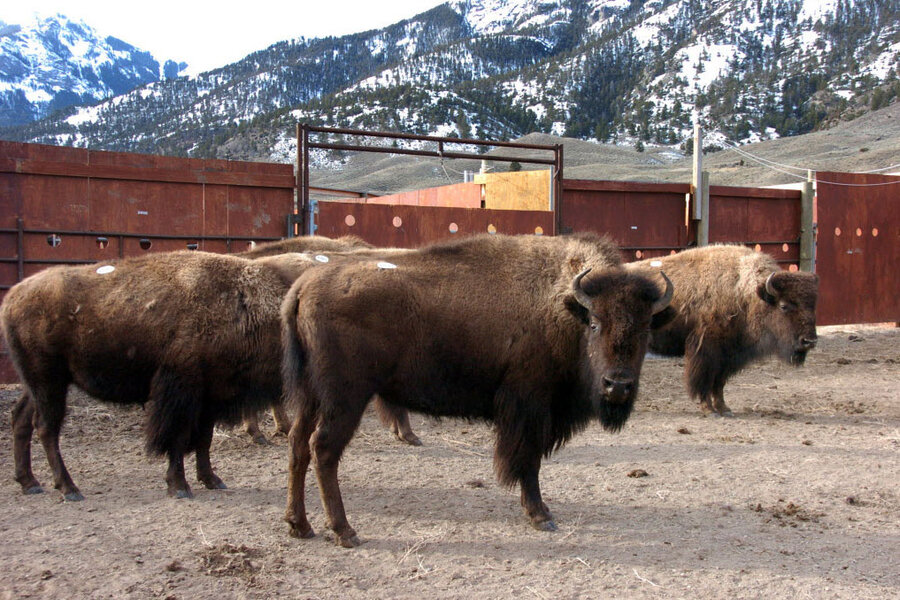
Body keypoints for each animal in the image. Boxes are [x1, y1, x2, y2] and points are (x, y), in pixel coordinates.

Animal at [281, 233, 674, 547]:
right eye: (594, 323)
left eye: (645, 329)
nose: (617, 386)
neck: (563, 305)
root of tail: (304, 286)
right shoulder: (529, 408)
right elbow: (528, 462)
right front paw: (540, 515)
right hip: (344, 398)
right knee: (323, 449)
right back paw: (345, 531)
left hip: (311, 396)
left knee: (299, 444)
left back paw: (300, 526)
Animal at [632, 244, 819, 416]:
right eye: (783, 306)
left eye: (812, 306)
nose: (809, 341)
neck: (744, 292)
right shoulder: (706, 353)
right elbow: (704, 381)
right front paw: (709, 409)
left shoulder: (728, 357)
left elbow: (719, 383)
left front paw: (723, 408)